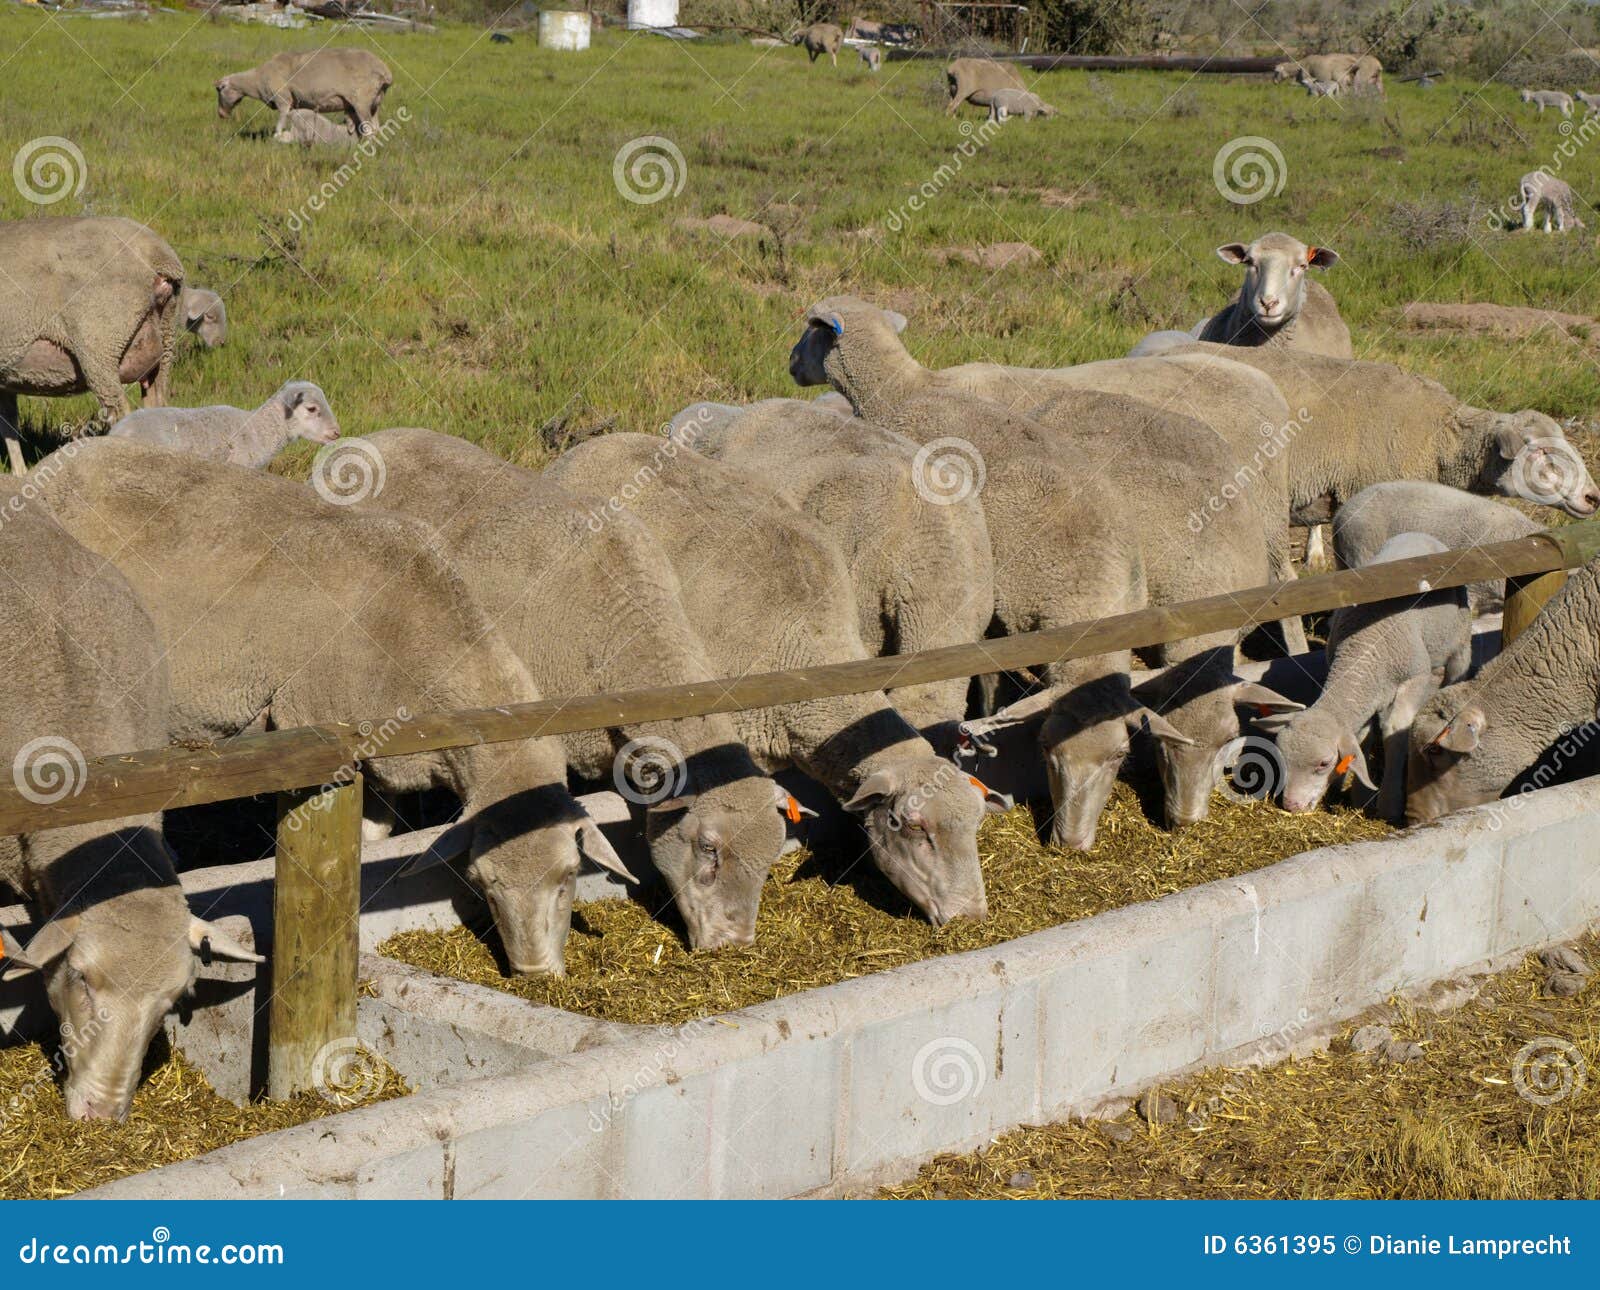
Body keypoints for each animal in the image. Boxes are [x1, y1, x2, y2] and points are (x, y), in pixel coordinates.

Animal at [0, 216, 184, 474]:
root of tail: (157, 254)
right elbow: (9, 426)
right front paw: (19, 474)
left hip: (100, 345)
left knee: (120, 411)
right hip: (165, 342)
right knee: (157, 407)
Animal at [30, 437, 632, 977]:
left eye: (569, 877)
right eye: (482, 883)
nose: (533, 973)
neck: (418, 629)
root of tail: (54, 464)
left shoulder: (381, 759)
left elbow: (373, 839)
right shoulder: (311, 735)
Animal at [216, 48, 393, 138]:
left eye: (219, 89)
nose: (221, 114)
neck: (257, 80)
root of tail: (384, 71)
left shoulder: (283, 99)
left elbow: (280, 121)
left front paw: (277, 137)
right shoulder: (295, 104)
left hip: (362, 100)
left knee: (369, 129)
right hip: (375, 102)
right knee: (376, 128)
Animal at [1258, 533, 1472, 820]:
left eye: (1323, 763)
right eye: (1283, 757)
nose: (1291, 805)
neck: (1364, 650)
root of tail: (1421, 534)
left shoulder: (1413, 675)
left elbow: (1394, 729)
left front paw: (1389, 801)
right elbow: (1362, 735)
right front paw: (1358, 794)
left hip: (1460, 642)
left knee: (1457, 671)